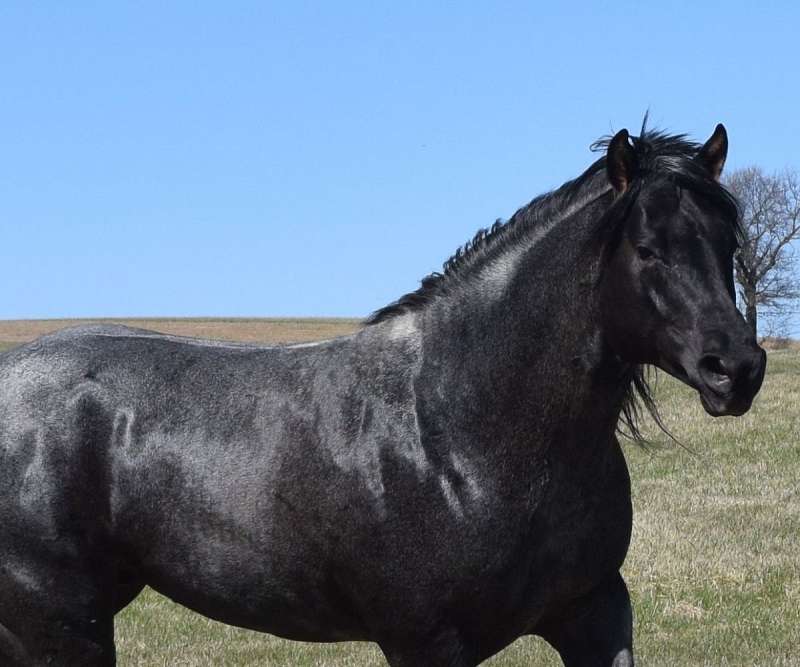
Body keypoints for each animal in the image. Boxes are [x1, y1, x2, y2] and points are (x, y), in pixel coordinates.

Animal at [0, 122, 766, 666]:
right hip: (62, 626)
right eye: (647, 250)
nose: (736, 368)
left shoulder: (595, 612)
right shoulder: (428, 642)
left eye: (727, 243)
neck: (466, 428)